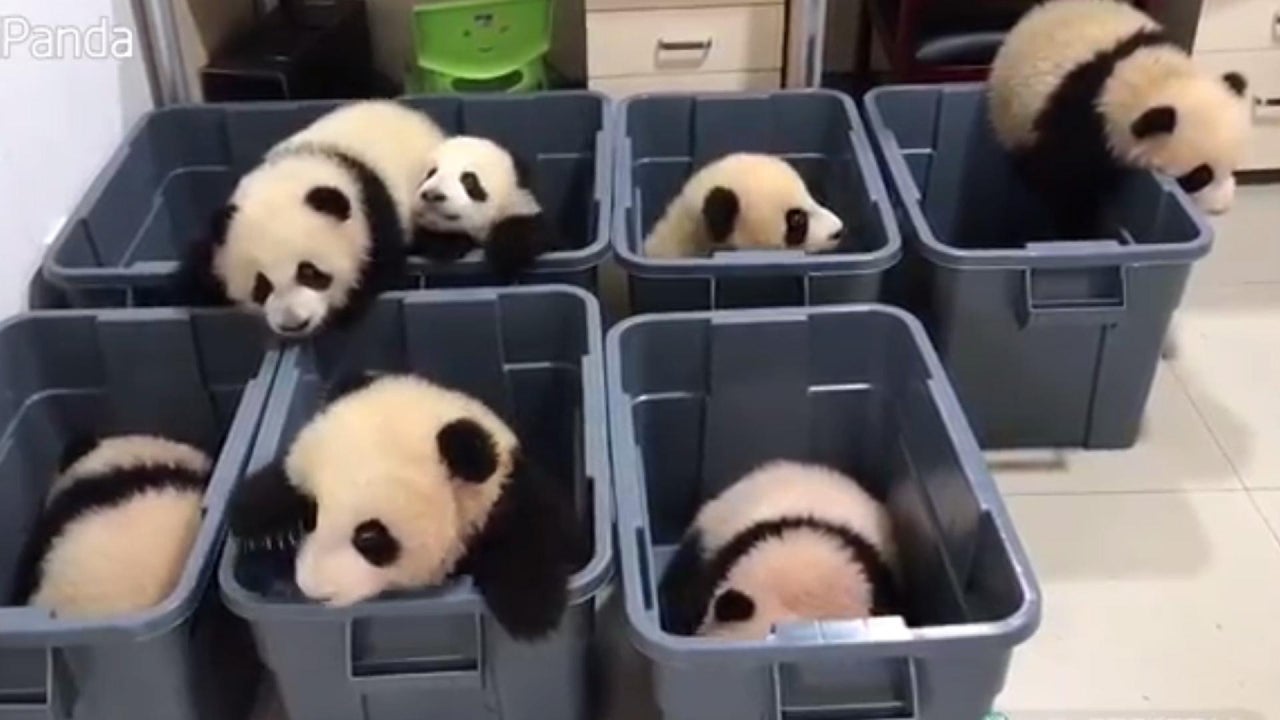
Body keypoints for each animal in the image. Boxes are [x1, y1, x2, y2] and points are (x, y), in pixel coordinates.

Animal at [228, 373, 581, 640]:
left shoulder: (506, 498)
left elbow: (537, 532)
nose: (312, 589)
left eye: (369, 538)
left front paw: (531, 609)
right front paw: (255, 518)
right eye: (311, 515)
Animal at [411, 135, 553, 282]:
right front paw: (446, 244)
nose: (432, 194)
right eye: (431, 173)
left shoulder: (521, 206)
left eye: (468, 179)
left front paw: (506, 255)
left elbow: (526, 231)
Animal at [988, 0, 1251, 236]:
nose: (1221, 208)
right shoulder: (1075, 129)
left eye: (1233, 166)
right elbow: (1065, 185)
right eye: (1198, 176)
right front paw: (1081, 229)